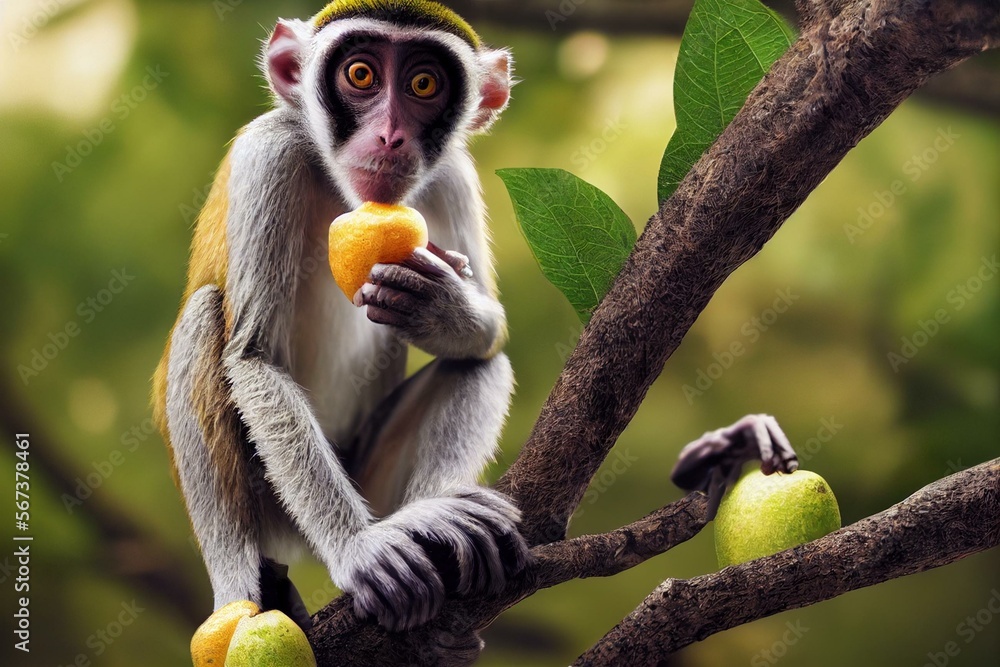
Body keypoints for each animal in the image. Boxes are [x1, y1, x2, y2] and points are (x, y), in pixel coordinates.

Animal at [152, 0, 530, 638]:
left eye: (424, 84)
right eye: (360, 75)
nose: (389, 134)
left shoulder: (452, 174)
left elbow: (490, 333)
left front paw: (443, 308)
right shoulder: (269, 154)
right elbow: (252, 357)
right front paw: (358, 548)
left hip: (367, 475)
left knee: (482, 363)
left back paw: (433, 513)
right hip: (276, 506)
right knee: (205, 318)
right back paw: (242, 593)